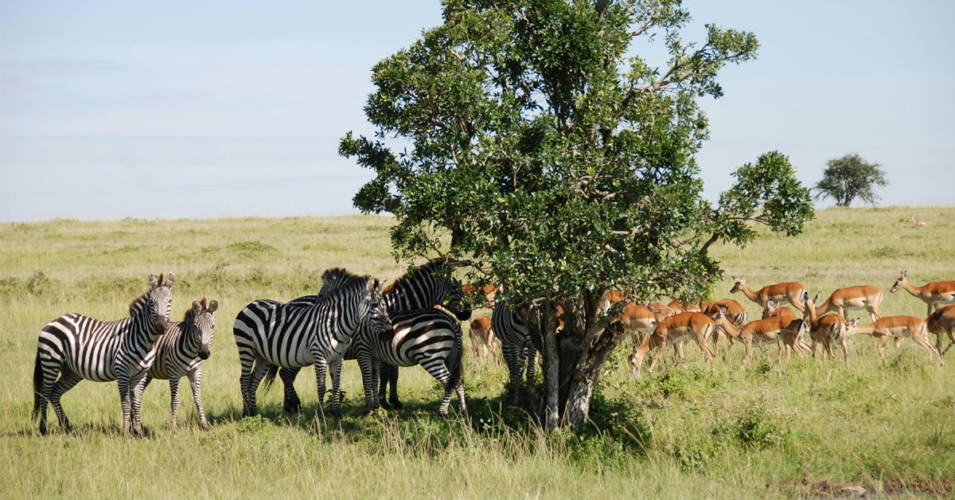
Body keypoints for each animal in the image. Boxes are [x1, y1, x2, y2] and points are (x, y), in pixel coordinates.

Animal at [32, 273, 174, 436]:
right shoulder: (122, 372)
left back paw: (66, 426)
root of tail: (53, 321)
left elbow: (137, 403)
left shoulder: (141, 374)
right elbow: (126, 403)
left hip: (71, 371)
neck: (142, 338)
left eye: (169, 301)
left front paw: (139, 433)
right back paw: (43, 429)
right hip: (51, 362)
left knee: (55, 393)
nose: (161, 327)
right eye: (152, 302)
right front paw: (126, 433)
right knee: (44, 393)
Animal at [131, 298, 218, 433]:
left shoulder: (196, 372)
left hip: (146, 375)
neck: (192, 351)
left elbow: (198, 398)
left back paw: (134, 426)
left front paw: (205, 426)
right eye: (195, 327)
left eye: (212, 326)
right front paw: (175, 429)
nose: (204, 353)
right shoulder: (174, 374)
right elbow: (175, 401)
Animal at [233, 268, 391, 419]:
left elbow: (337, 385)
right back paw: (246, 413)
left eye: (384, 305)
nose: (389, 331)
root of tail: (252, 303)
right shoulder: (321, 356)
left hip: (263, 355)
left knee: (254, 380)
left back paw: (254, 413)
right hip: (246, 348)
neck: (335, 324)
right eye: (374, 305)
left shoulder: (338, 358)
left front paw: (337, 414)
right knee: (244, 379)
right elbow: (322, 387)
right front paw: (320, 415)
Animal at [270, 260, 471, 413]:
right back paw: (293, 405)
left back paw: (290, 405)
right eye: (455, 286)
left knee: (285, 374)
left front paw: (390, 401)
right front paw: (383, 401)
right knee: (285, 374)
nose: (468, 313)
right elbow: (384, 375)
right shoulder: (378, 348)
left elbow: (390, 375)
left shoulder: (386, 348)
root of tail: (290, 302)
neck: (396, 304)